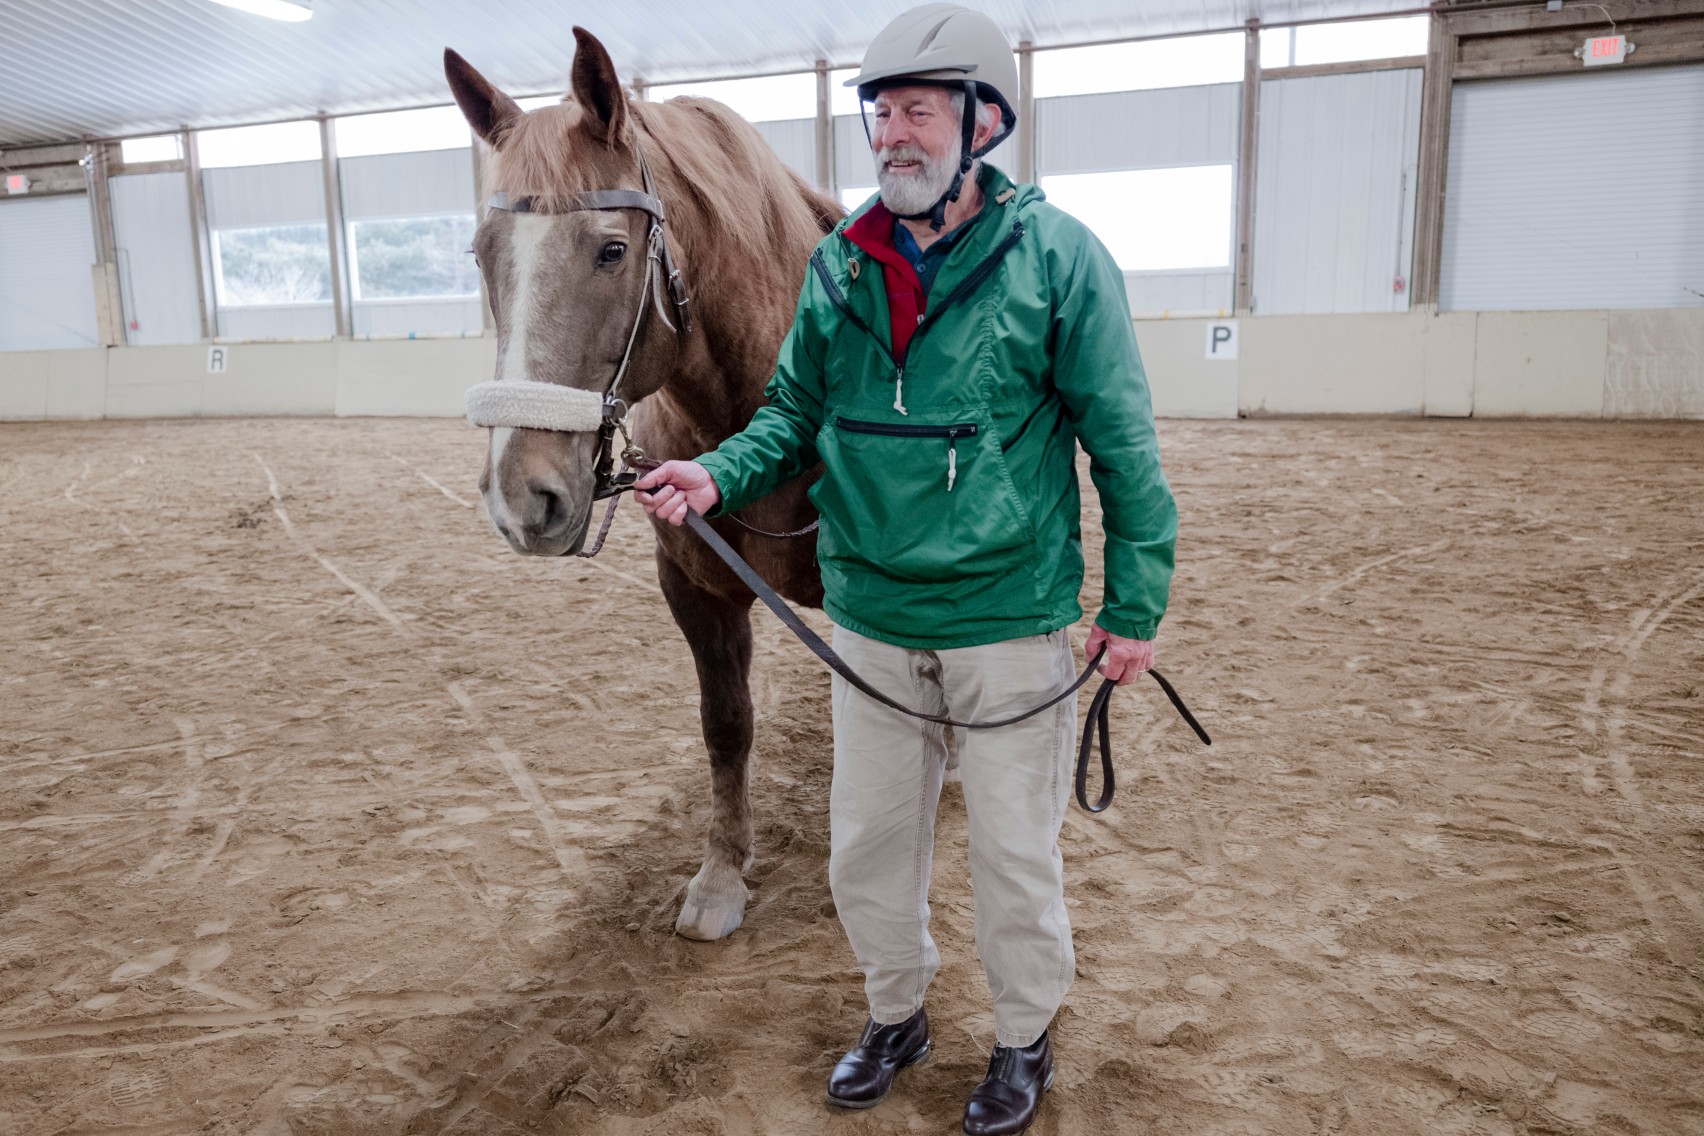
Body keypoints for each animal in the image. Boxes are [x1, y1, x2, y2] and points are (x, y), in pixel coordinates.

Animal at [445, 29, 840, 940]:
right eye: (483, 254)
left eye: (612, 250)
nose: (524, 497)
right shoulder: (694, 588)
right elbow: (726, 724)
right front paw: (721, 874)